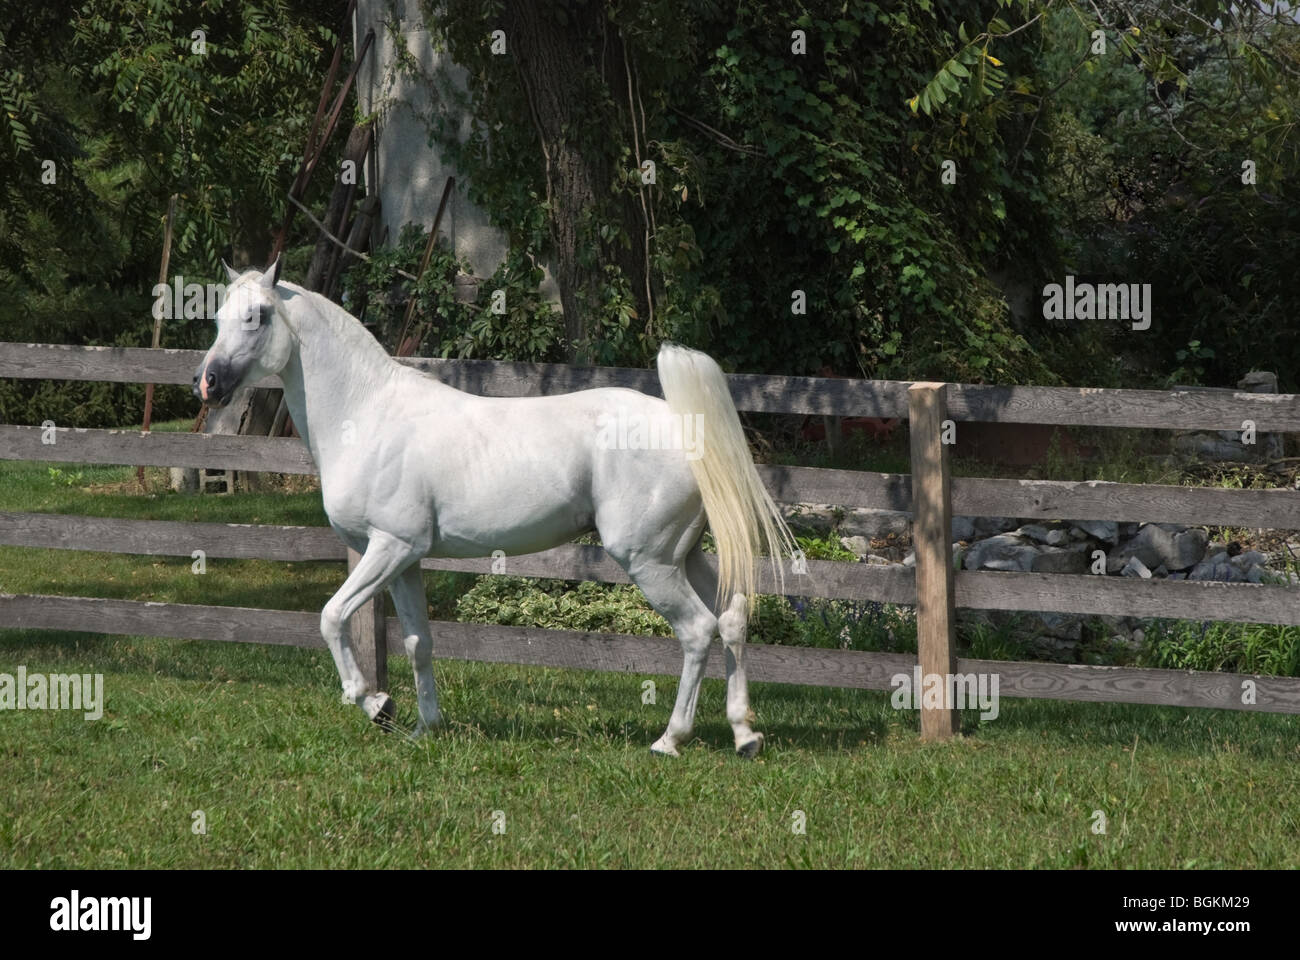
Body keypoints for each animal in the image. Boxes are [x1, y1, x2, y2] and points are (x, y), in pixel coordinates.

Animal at [193, 256, 796, 757]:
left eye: (258, 316)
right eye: (218, 317)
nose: (209, 384)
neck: (367, 413)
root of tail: (686, 427)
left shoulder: (388, 547)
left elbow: (332, 617)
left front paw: (375, 705)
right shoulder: (405, 561)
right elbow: (417, 642)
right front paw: (424, 727)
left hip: (648, 560)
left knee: (697, 630)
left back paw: (670, 740)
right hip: (685, 554)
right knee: (733, 618)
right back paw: (745, 736)